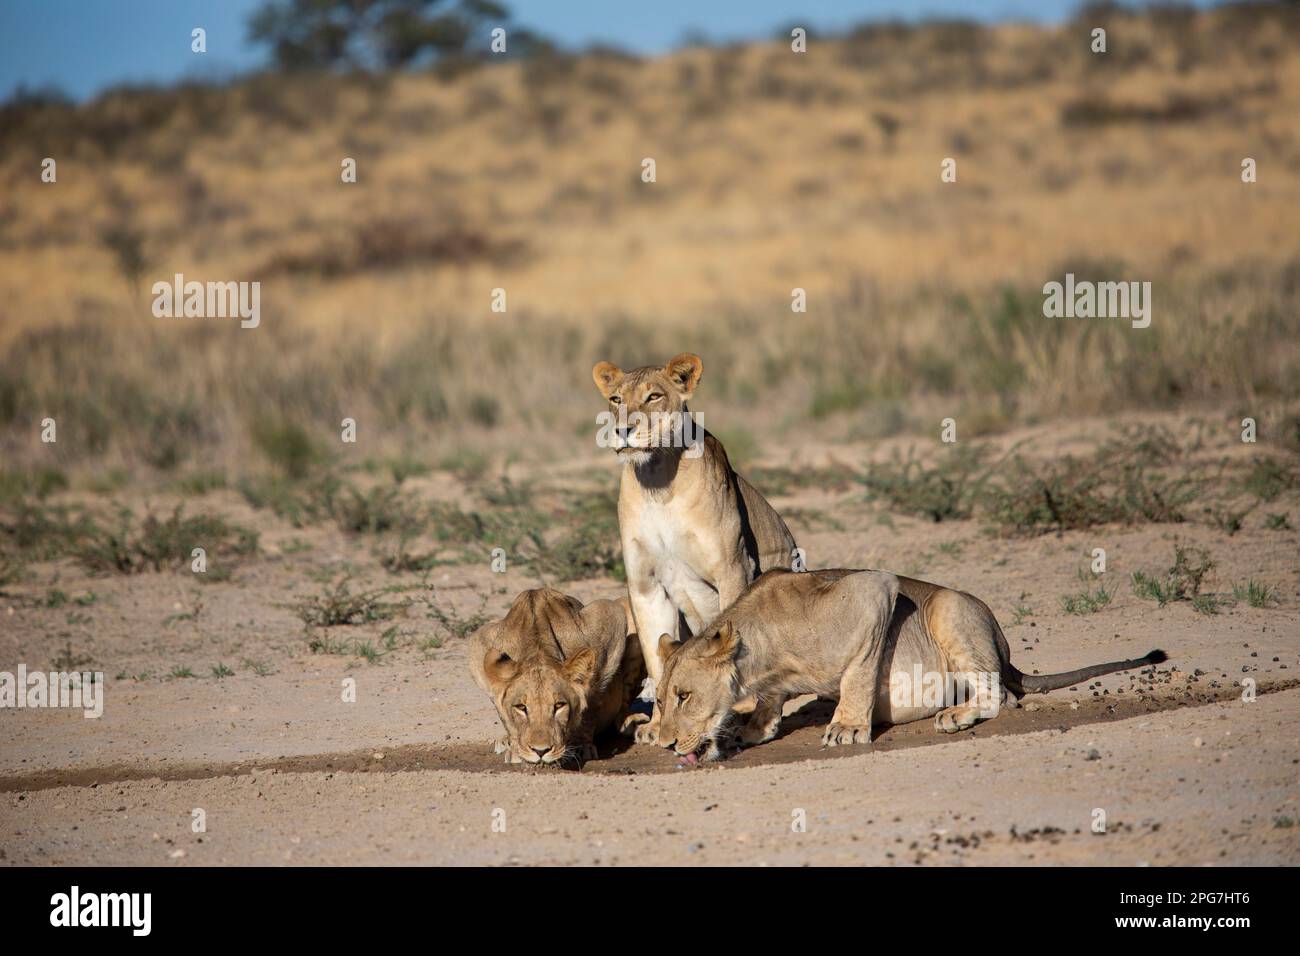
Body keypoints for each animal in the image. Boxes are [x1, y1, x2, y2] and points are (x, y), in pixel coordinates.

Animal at [467, 588, 645, 765]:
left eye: (559, 705)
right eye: (521, 707)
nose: (540, 751)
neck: (538, 648)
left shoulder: (611, 616)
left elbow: (591, 699)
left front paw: (581, 746)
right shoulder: (478, 641)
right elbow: (501, 709)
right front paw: (516, 748)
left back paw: (630, 721)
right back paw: (503, 740)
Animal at [591, 352, 796, 743]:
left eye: (653, 397)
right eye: (615, 399)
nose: (622, 430)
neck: (657, 483)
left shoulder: (734, 569)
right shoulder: (646, 586)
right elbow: (657, 659)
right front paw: (657, 725)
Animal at [654, 569, 1167, 762]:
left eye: (684, 696)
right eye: (658, 700)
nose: (664, 744)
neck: (764, 652)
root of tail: (1006, 648)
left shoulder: (873, 590)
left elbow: (860, 673)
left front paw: (847, 728)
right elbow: (768, 702)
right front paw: (750, 728)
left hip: (948, 608)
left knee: (1000, 694)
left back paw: (955, 715)